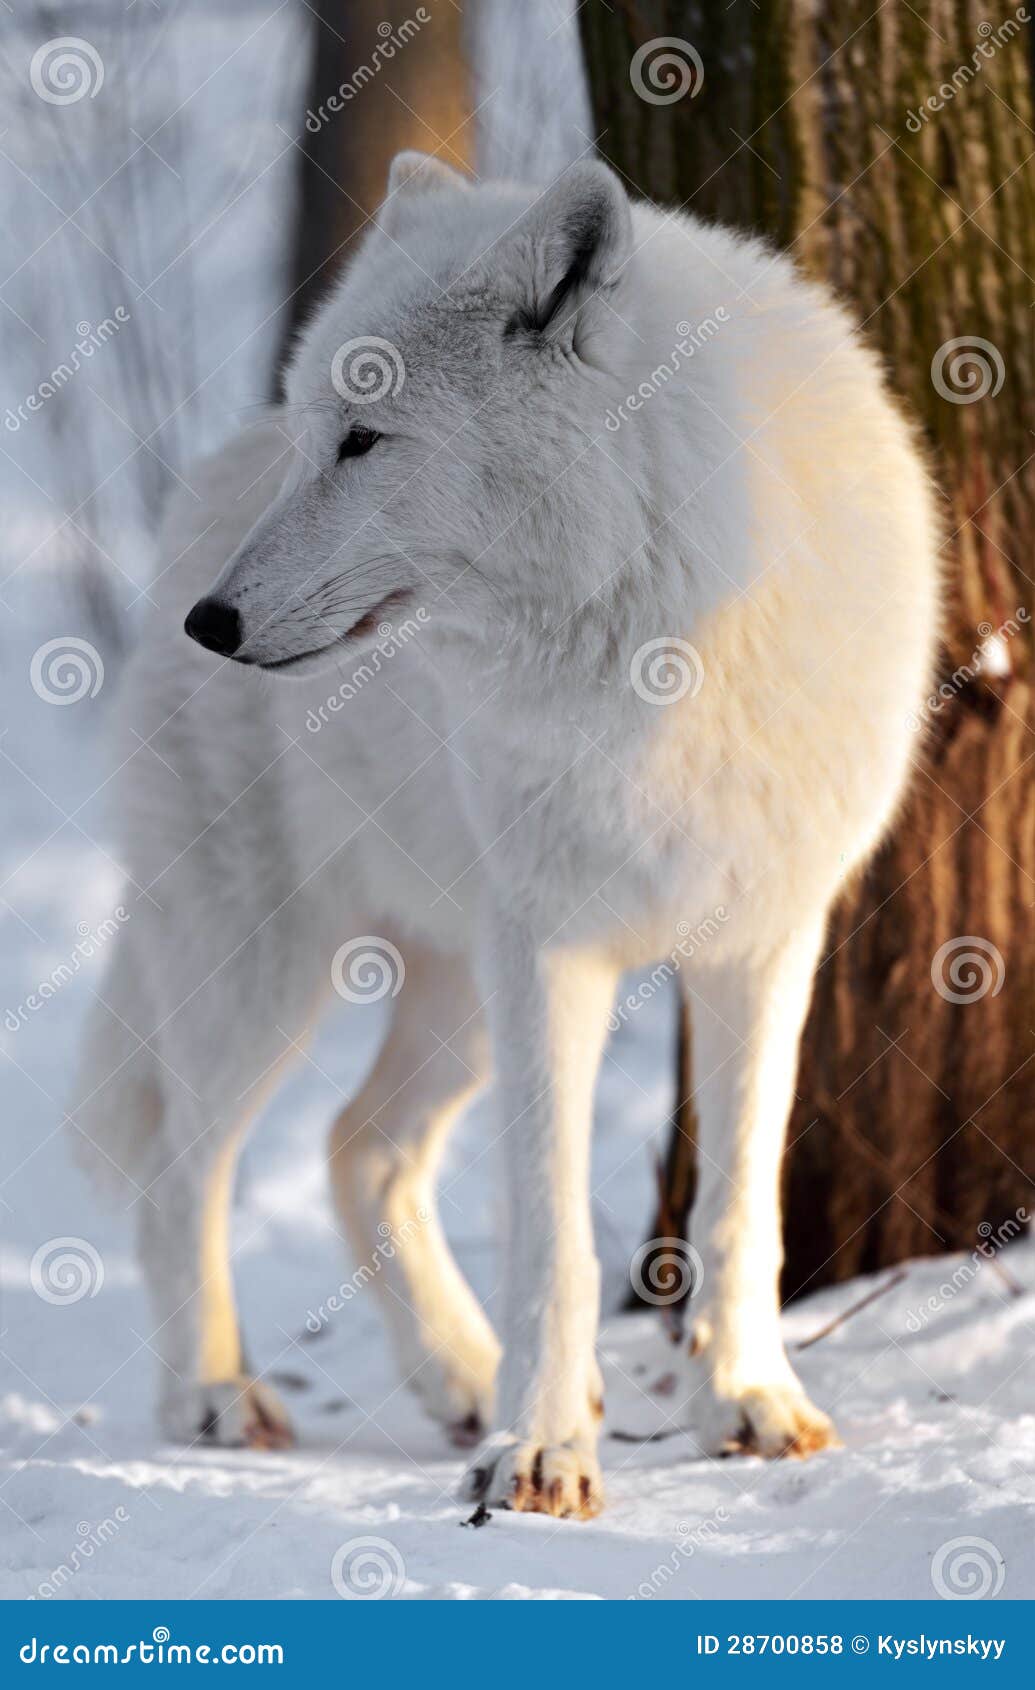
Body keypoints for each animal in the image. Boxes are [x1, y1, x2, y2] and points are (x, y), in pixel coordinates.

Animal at [75, 152, 939, 1519]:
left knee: (358, 1147)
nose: (215, 621)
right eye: (316, 435)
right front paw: (542, 1453)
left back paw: (460, 1375)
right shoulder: (549, 954)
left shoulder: (764, 939)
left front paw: (746, 1401)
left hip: (447, 987)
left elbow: (740, 1202)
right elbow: (553, 1234)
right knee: (181, 1171)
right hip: (267, 971)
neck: (657, 632)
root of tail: (197, 496)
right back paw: (218, 1397)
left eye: (363, 438)